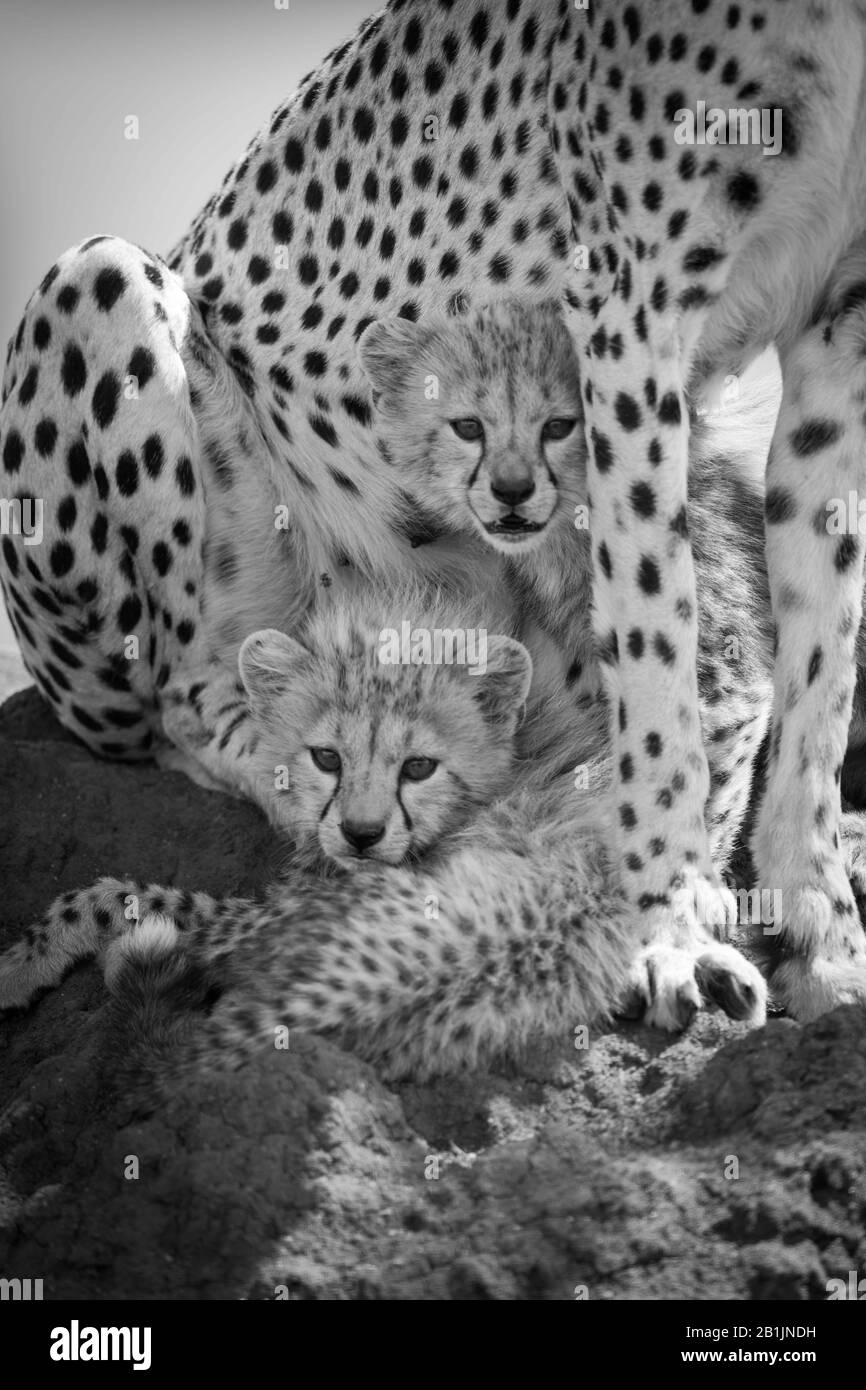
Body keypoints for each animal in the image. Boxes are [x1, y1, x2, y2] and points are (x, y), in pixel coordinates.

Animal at [4, 0, 866, 1028]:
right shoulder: (628, 311)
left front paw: (821, 930)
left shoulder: (844, 313)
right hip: (101, 279)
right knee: (177, 706)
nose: (512, 492)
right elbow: (659, 648)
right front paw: (671, 928)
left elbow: (822, 650)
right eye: (464, 425)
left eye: (553, 425)